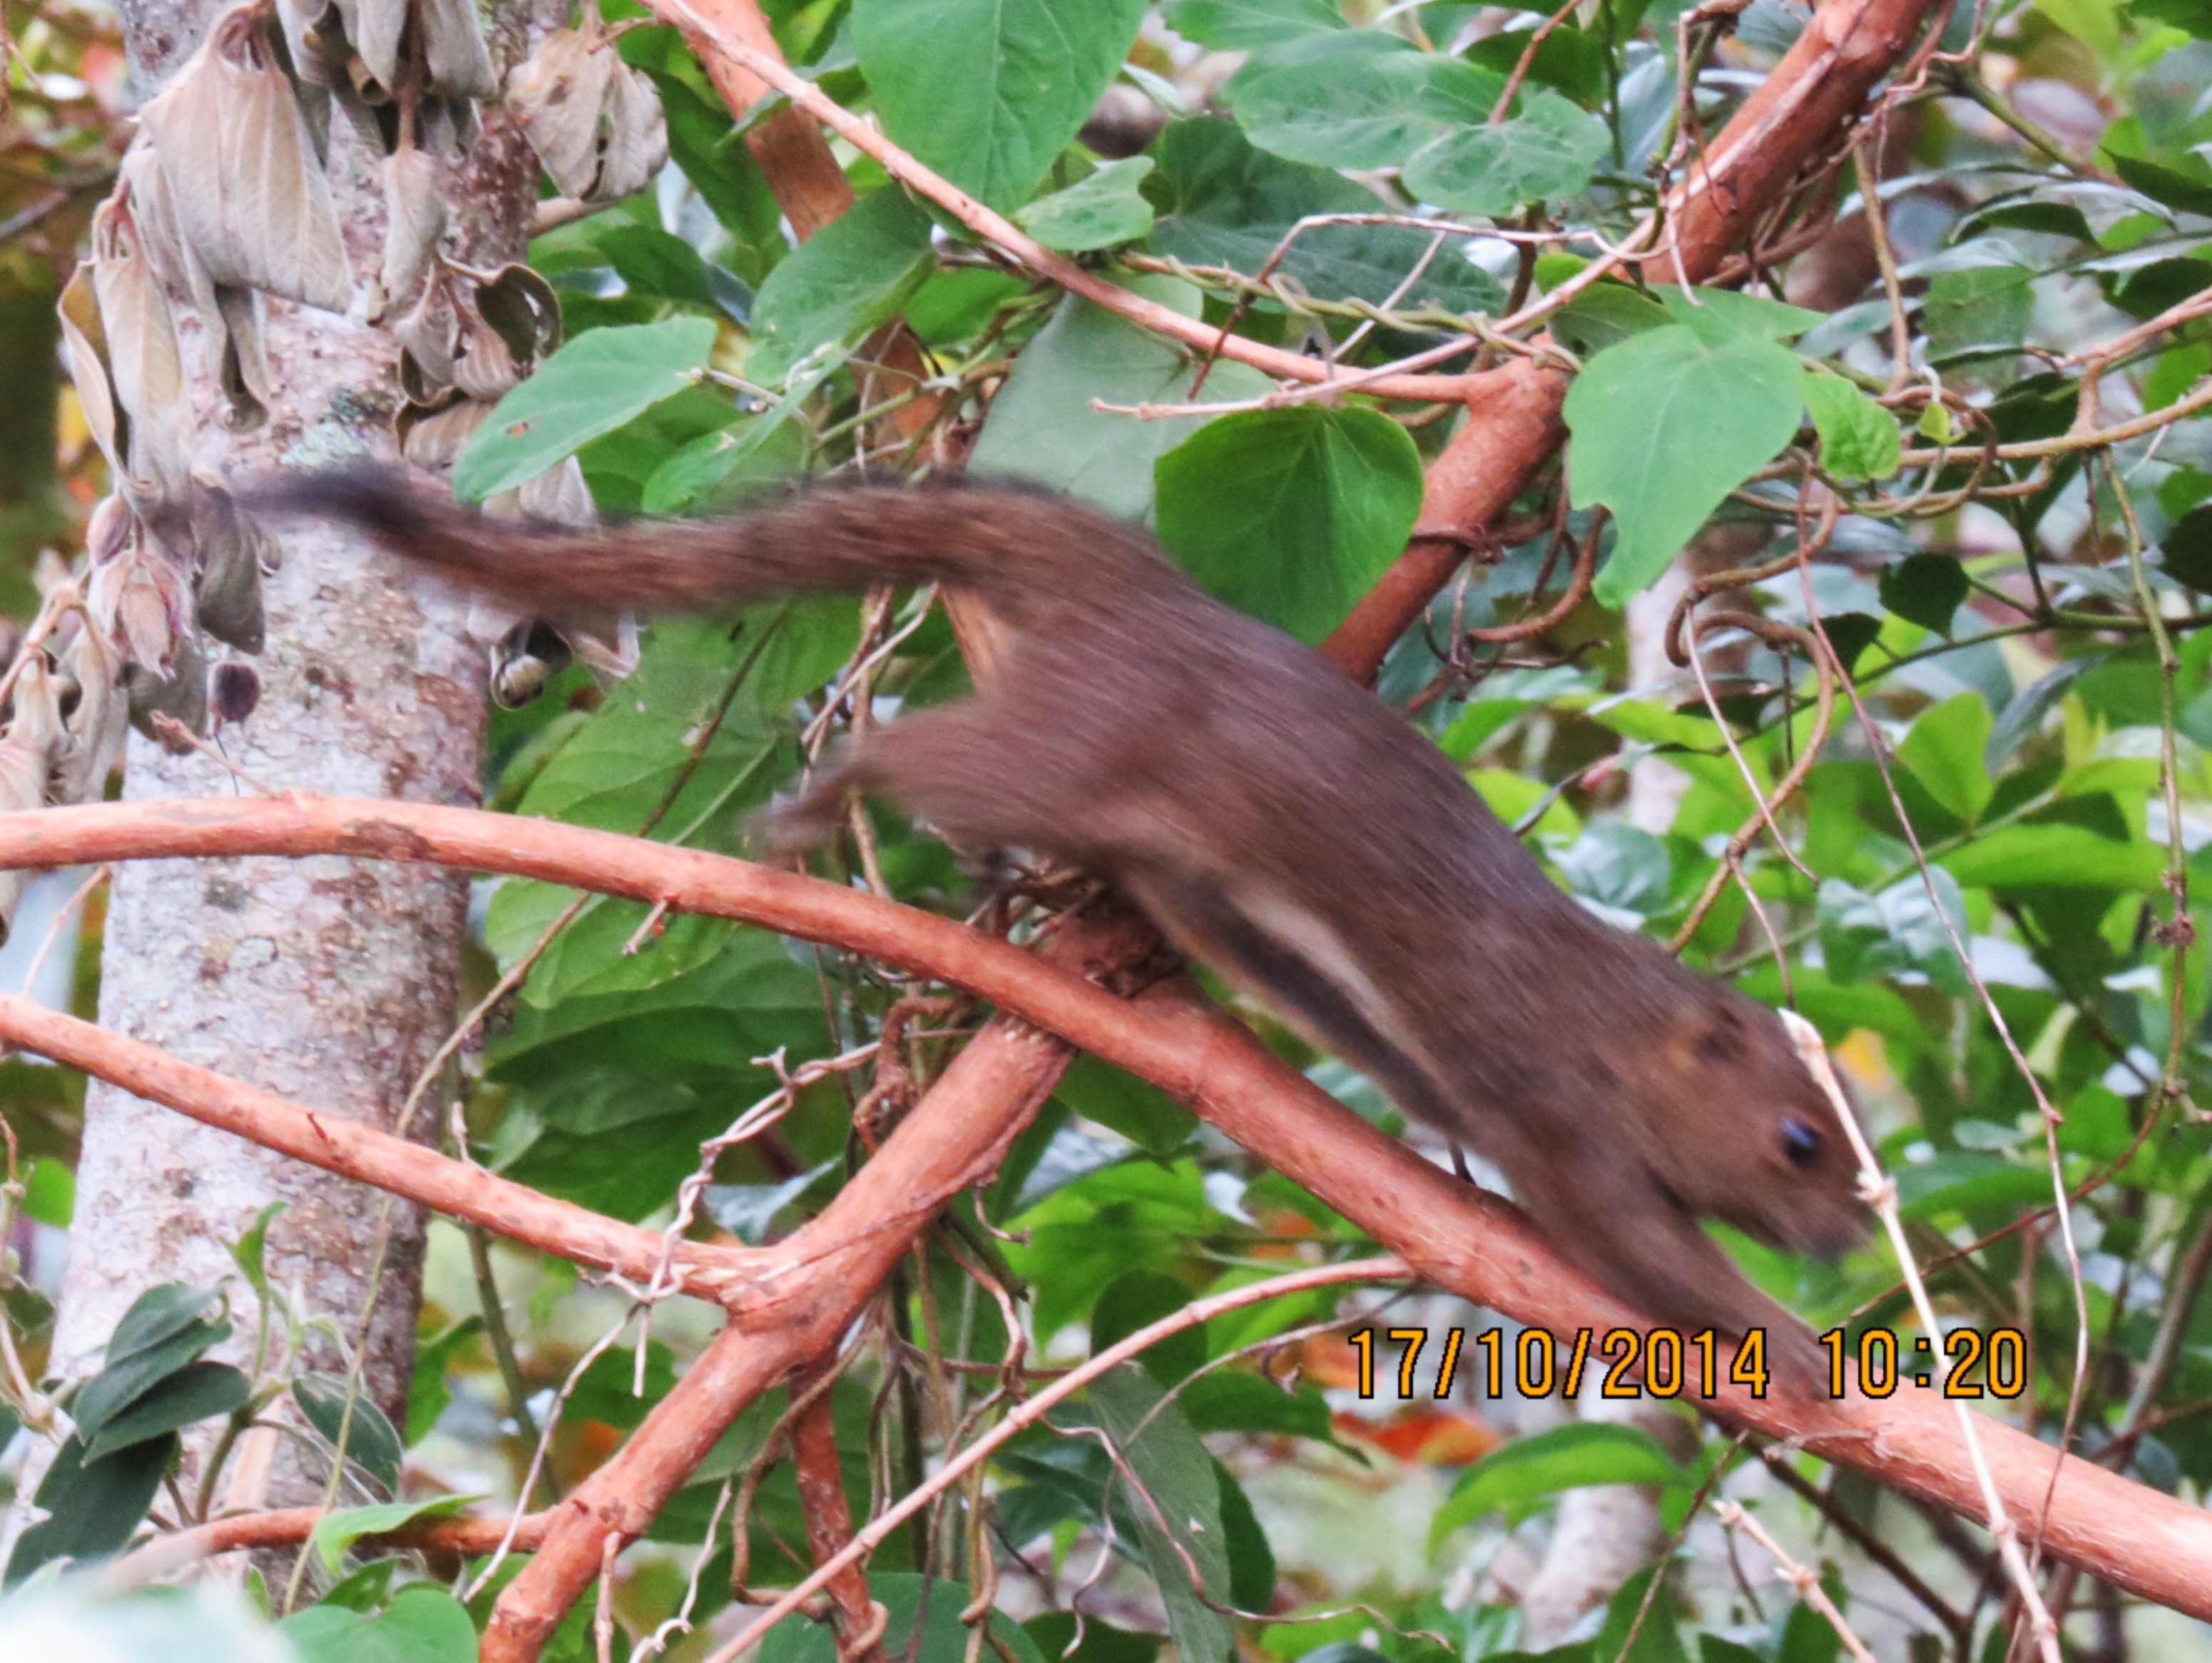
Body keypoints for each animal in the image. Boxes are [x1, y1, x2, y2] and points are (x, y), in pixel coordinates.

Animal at [291, 472, 1868, 1382]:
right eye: (1798, 1137)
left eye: (1846, 1136)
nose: (1855, 1228)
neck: (1604, 1008)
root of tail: (1143, 593)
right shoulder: (1554, 1111)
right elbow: (1645, 1248)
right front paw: (1795, 1343)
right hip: (1051, 756)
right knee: (912, 749)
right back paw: (815, 808)